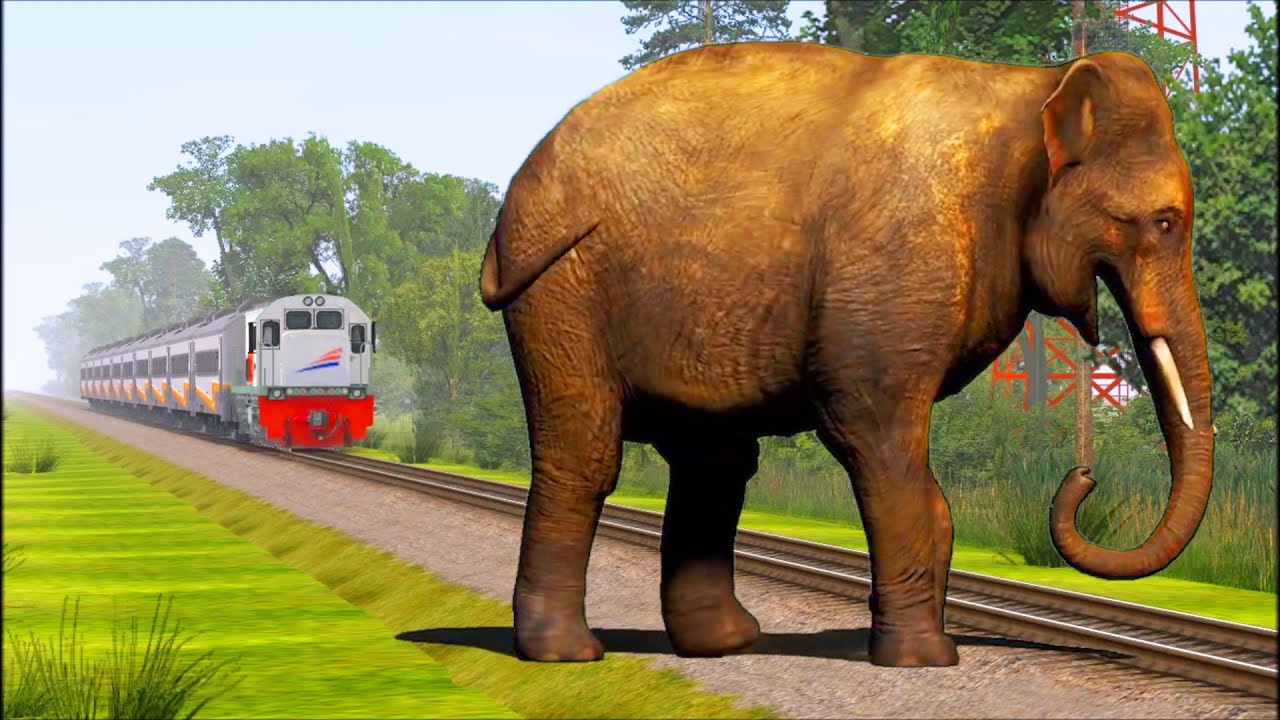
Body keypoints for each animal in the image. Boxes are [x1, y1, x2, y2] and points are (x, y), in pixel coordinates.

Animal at [478, 42, 1214, 668]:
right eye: (1165, 221)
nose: (1083, 476)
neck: (1034, 88)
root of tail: (516, 195)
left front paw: (929, 647)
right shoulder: (896, 261)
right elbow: (871, 430)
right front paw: (925, 661)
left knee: (714, 461)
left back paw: (725, 646)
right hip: (561, 292)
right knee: (587, 455)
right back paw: (568, 655)